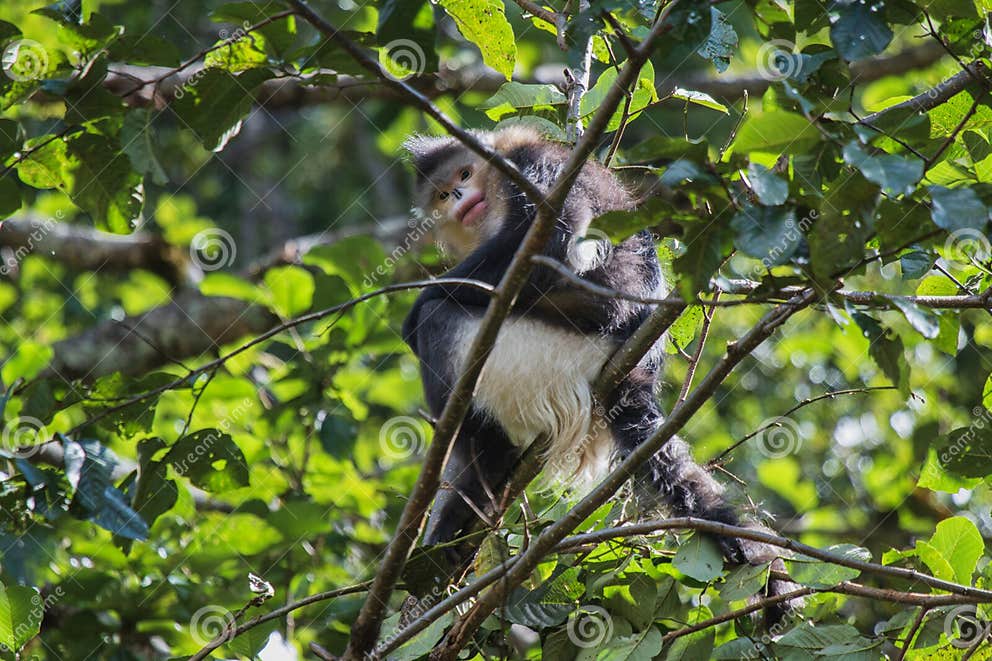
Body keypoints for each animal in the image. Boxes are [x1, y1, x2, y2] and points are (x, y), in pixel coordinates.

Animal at [401, 126, 794, 617]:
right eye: (442, 193)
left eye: (464, 175)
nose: (456, 195)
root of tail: (634, 369)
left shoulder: (535, 167)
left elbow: (557, 242)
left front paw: (418, 301)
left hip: (544, 357)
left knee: (439, 318)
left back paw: (485, 467)